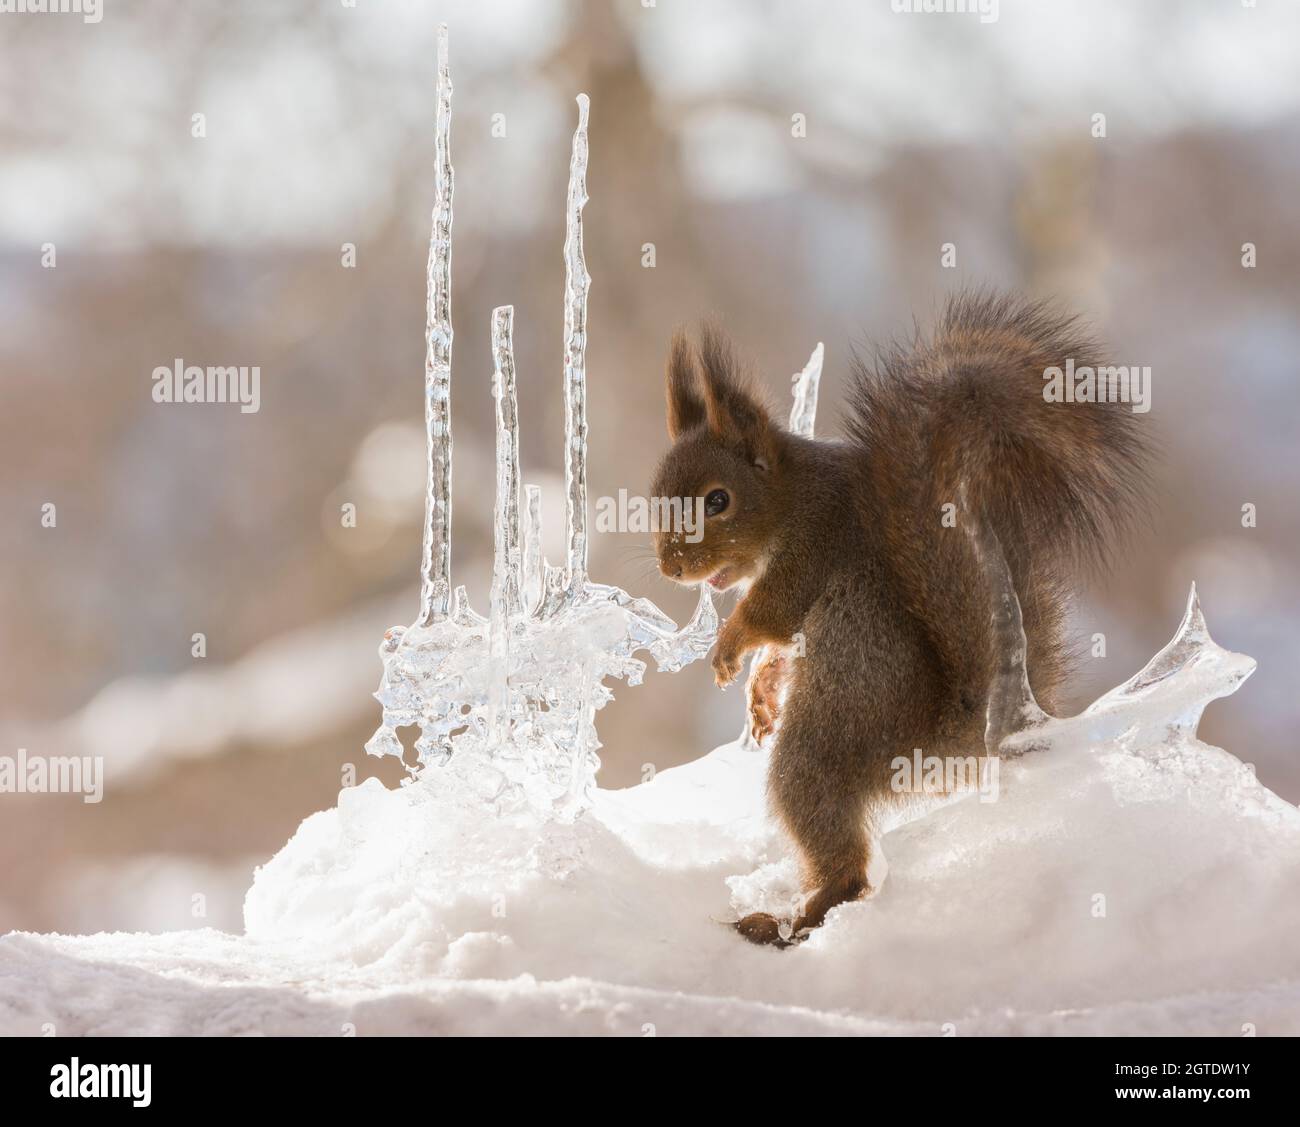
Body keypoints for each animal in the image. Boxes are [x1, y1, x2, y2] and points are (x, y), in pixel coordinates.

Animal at [650, 290, 1151, 946]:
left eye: (717, 500)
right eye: (654, 493)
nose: (670, 567)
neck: (792, 495)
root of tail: (938, 741)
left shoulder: (813, 547)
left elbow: (772, 614)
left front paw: (728, 650)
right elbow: (780, 646)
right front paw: (760, 692)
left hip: (823, 744)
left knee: (846, 866)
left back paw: (789, 922)